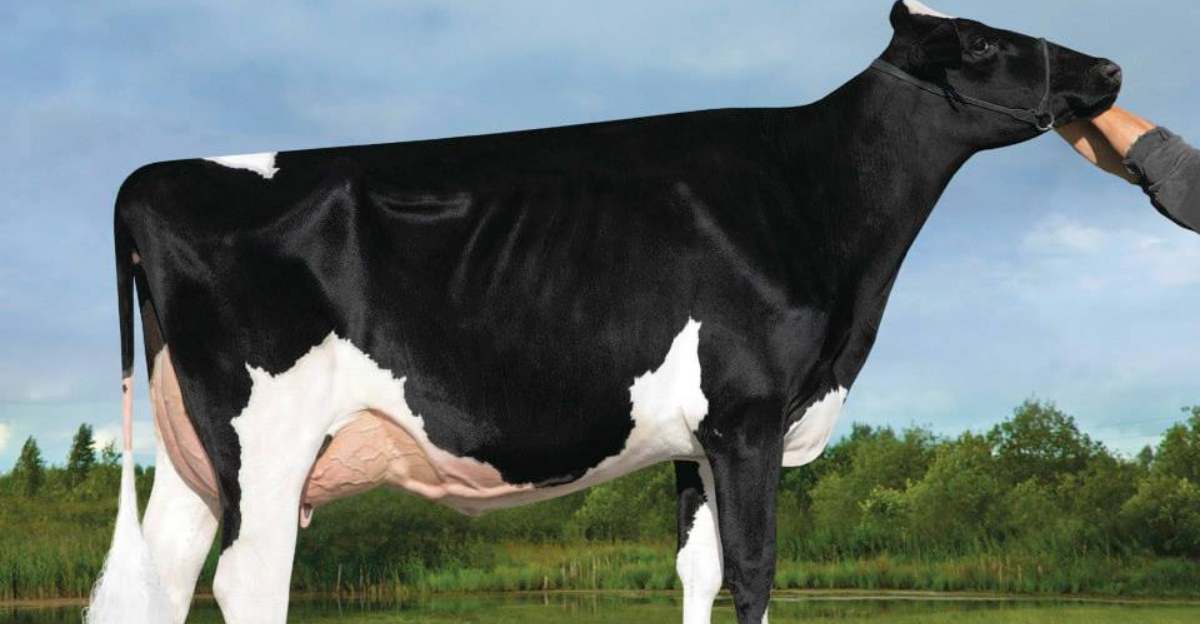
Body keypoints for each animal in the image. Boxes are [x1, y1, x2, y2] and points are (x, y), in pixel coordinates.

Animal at [84, 2, 1123, 623]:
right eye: (981, 42)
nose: (1109, 68)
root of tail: (149, 176)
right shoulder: (748, 416)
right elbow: (756, 572)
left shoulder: (699, 440)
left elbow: (701, 572)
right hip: (269, 435)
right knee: (251, 579)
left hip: (195, 458)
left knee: (163, 585)